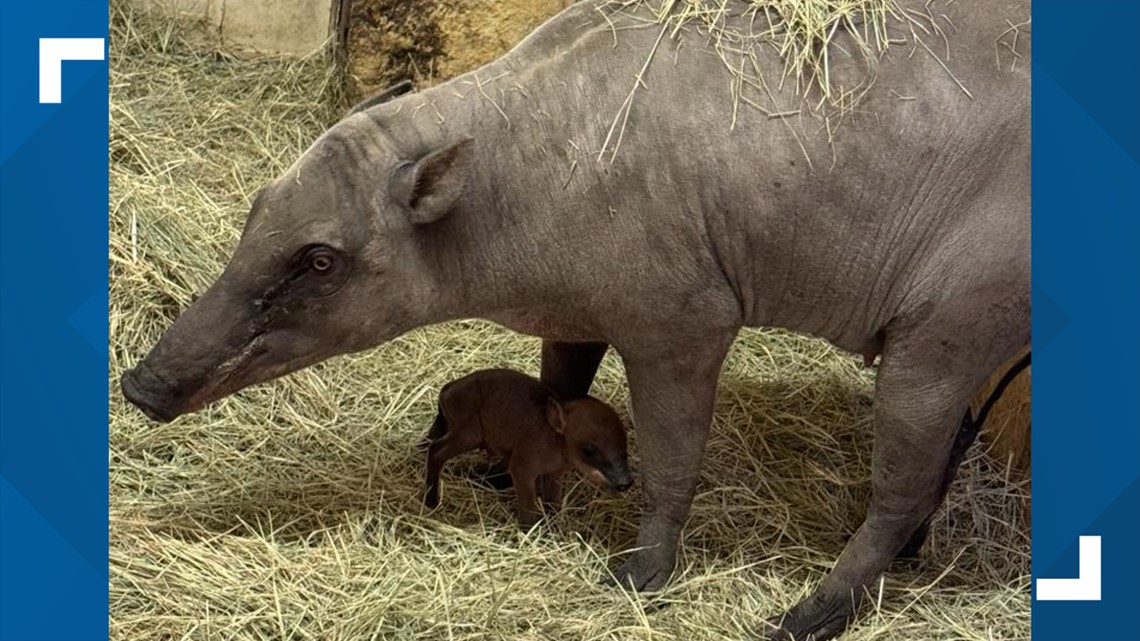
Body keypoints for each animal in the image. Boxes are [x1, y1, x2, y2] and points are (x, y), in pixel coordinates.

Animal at [422, 368, 633, 527]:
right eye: (588, 450)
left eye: (625, 443)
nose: (625, 483)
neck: (553, 439)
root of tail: (447, 389)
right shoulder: (522, 468)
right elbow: (528, 505)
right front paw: (530, 531)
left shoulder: (554, 473)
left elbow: (553, 502)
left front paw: (552, 528)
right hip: (468, 433)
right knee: (436, 450)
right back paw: (431, 501)